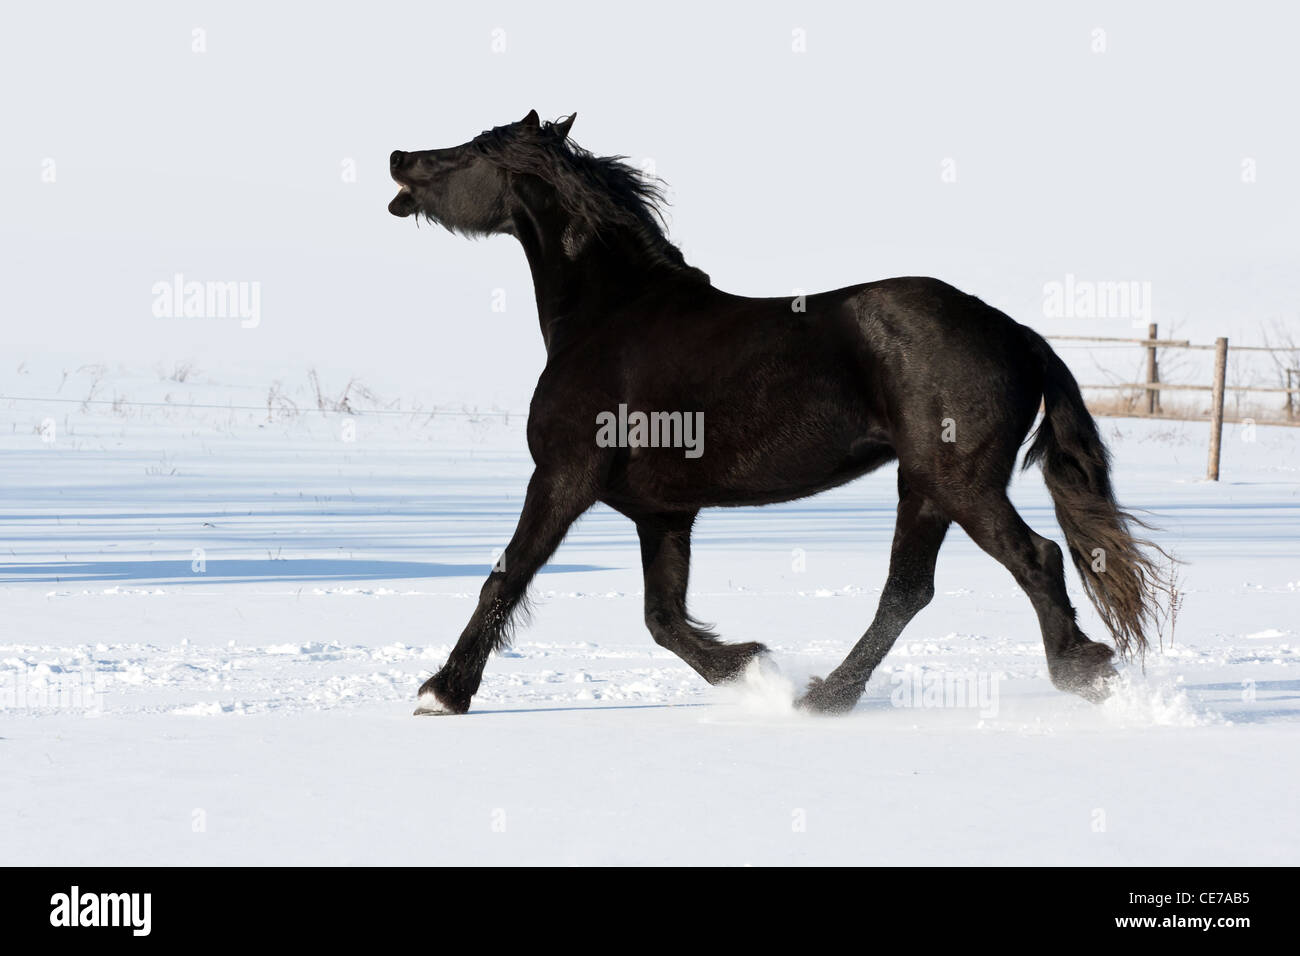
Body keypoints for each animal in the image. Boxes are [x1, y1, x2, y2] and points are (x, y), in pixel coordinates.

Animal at [388, 110, 1162, 716]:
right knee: (908, 590)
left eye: (471, 150)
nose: (398, 159)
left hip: (960, 483)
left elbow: (508, 574)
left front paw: (442, 692)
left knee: (1034, 558)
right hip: (925, 487)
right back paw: (825, 697)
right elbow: (662, 618)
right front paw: (749, 666)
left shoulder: (563, 478)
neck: (609, 317)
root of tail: (1014, 332)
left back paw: (1082, 671)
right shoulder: (663, 512)